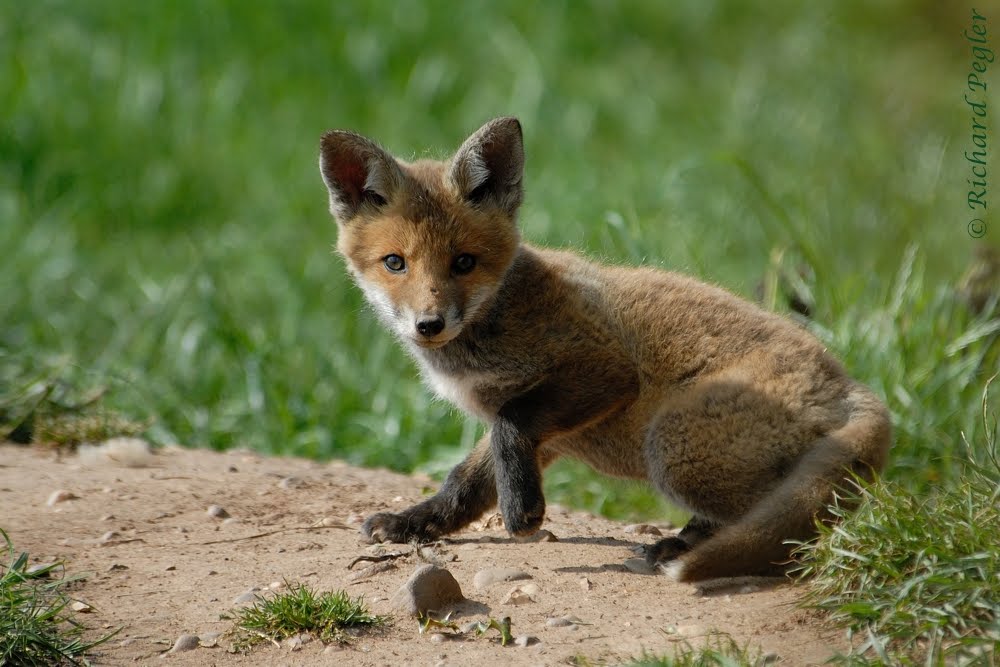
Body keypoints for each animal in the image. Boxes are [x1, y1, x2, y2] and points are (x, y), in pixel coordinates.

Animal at [318, 117, 891, 582]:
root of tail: (852, 386)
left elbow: (507, 427)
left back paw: (692, 547)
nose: (429, 325)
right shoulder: (545, 433)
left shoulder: (601, 372)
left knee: (782, 517)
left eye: (464, 262)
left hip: (673, 446)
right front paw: (417, 523)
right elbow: (467, 480)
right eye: (395, 263)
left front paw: (522, 514)